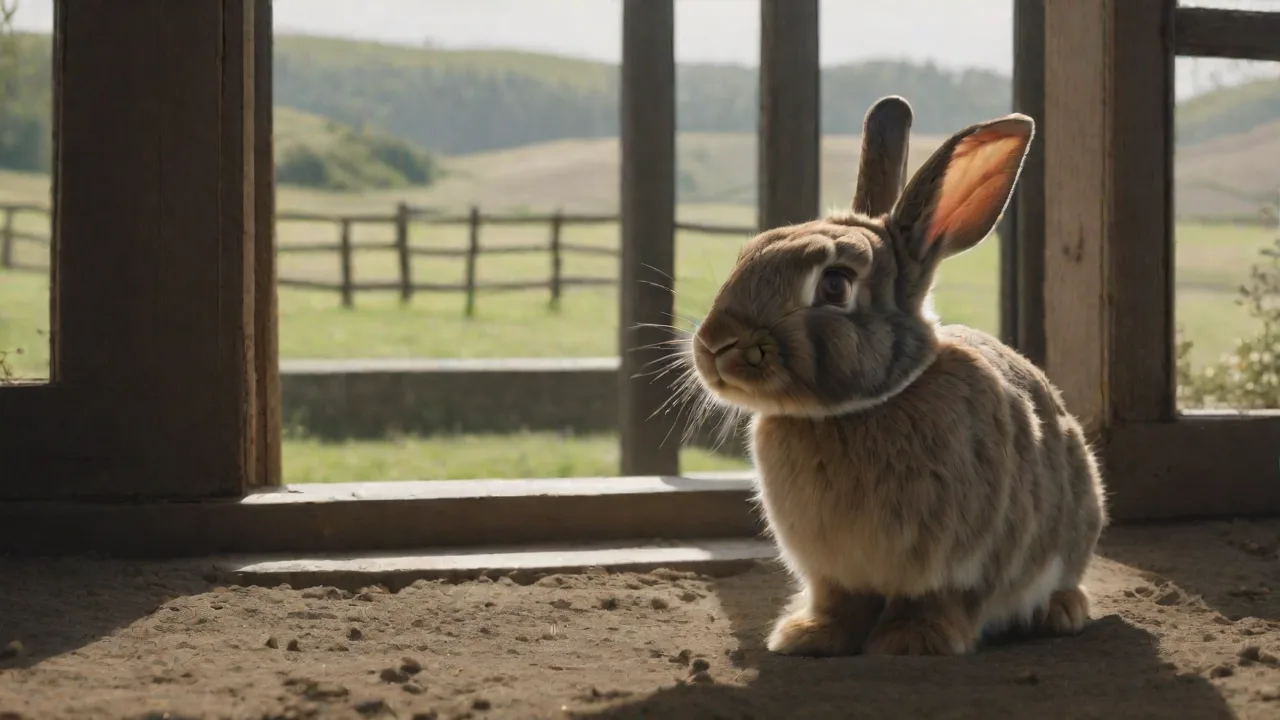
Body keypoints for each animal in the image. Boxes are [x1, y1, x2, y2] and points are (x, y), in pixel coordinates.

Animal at [686, 95, 1108, 657]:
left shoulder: (960, 562)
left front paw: (913, 642)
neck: (861, 408)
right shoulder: (834, 573)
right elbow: (839, 603)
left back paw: (1062, 612)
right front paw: (808, 636)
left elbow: (939, 601)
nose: (714, 344)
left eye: (835, 285)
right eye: (748, 254)